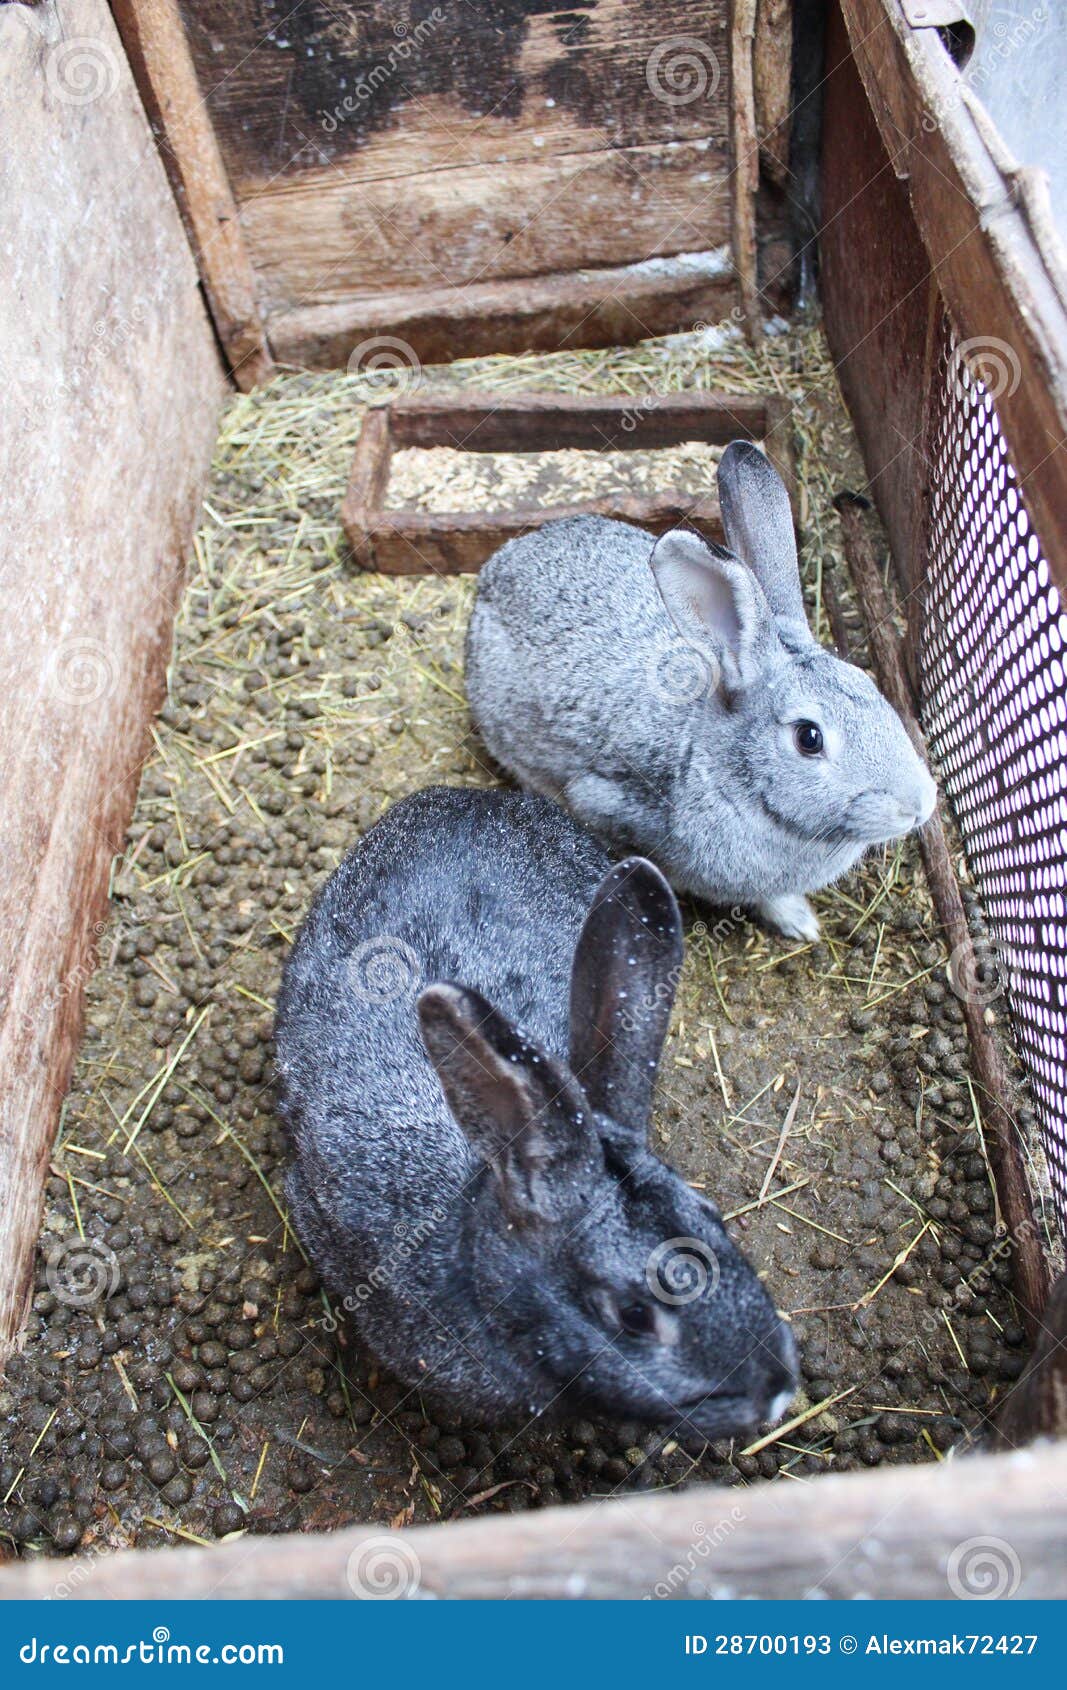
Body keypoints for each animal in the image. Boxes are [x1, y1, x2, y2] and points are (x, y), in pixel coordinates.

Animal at [465, 439, 937, 941]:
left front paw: (802, 923)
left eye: (869, 684)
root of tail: (495, 568)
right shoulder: (603, 801)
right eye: (809, 738)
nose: (919, 806)